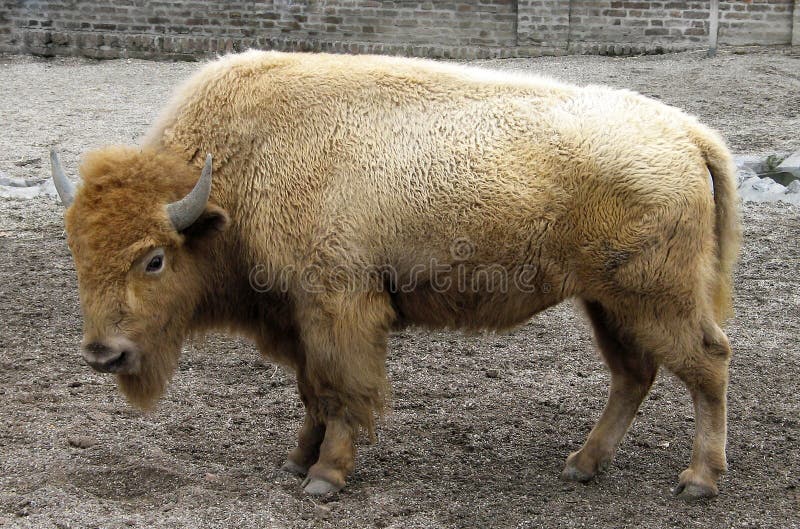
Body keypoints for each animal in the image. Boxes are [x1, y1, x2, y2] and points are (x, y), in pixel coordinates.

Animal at [51, 50, 740, 500]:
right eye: (76, 249)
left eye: (155, 258)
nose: (104, 353)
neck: (237, 170)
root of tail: (686, 131)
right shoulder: (300, 317)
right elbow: (313, 390)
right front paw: (297, 459)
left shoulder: (339, 309)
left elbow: (342, 389)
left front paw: (325, 477)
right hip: (607, 303)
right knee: (634, 374)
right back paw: (582, 464)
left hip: (654, 297)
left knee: (706, 362)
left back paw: (699, 480)